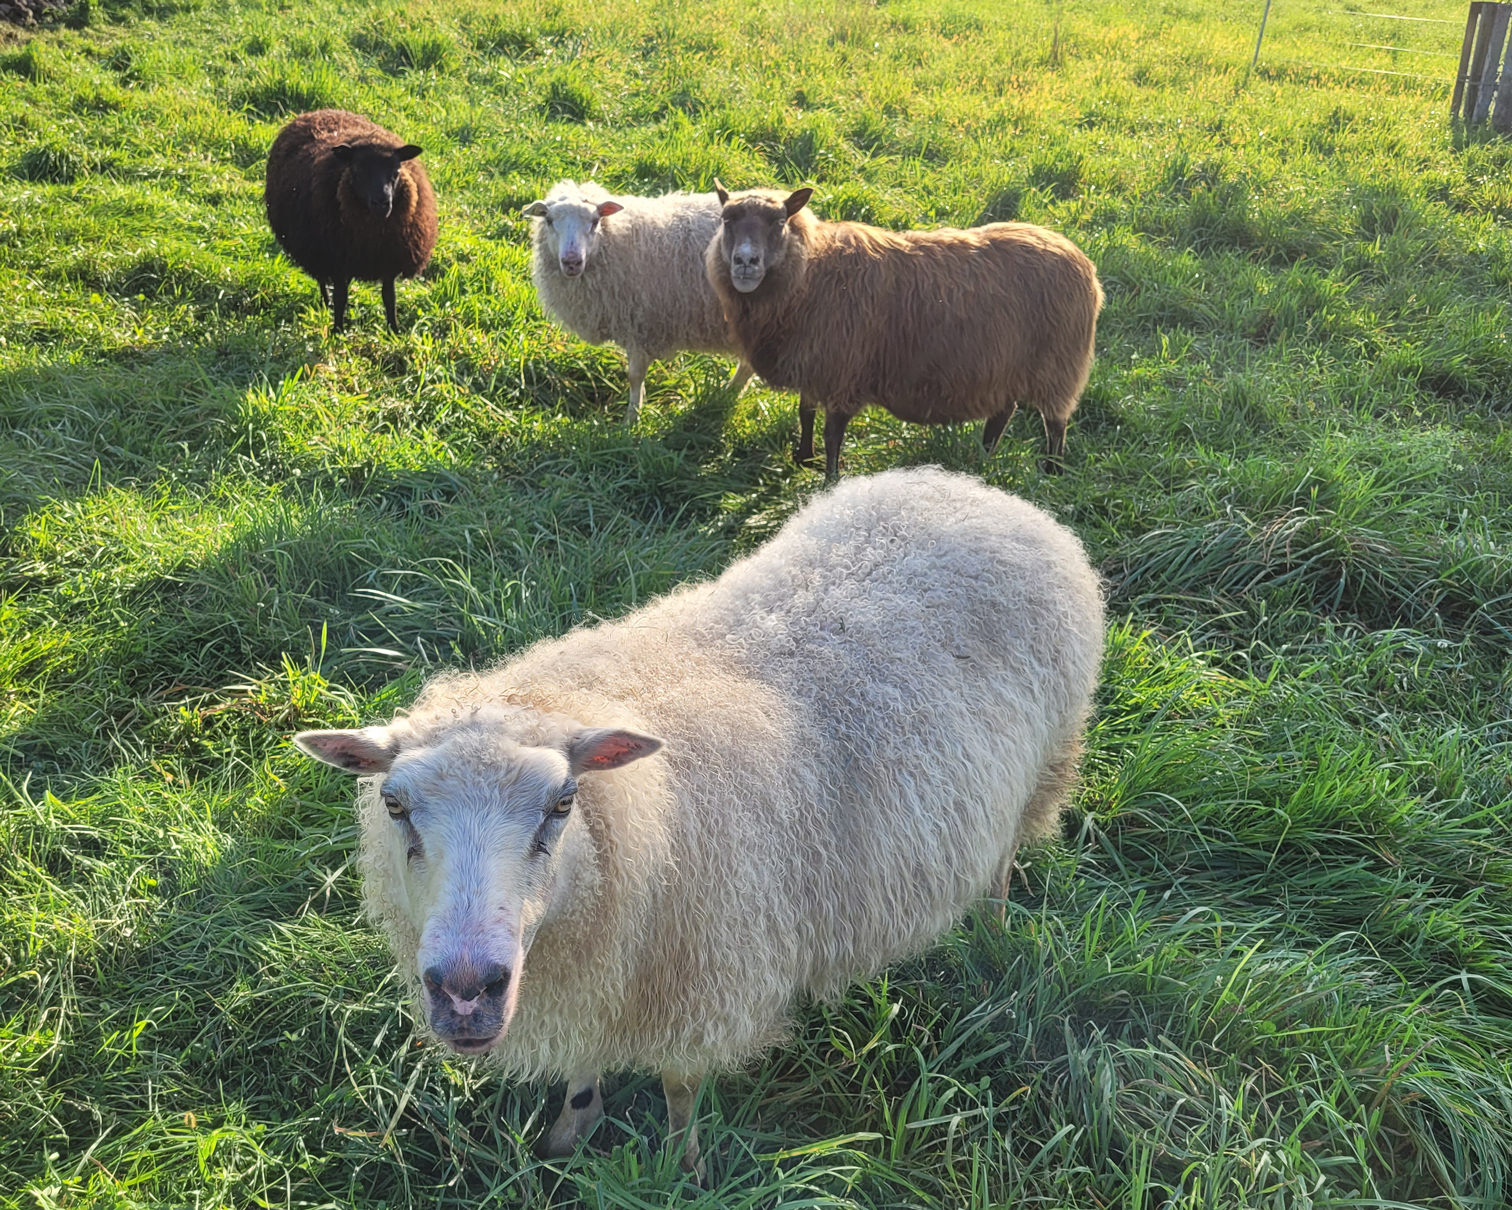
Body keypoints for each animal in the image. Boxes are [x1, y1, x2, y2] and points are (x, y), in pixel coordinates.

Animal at [264, 109, 437, 332]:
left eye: (396, 171)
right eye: (357, 170)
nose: (382, 202)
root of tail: (318, 111)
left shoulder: (390, 260)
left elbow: (389, 297)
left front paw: (393, 330)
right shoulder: (338, 260)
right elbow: (341, 297)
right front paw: (338, 330)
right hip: (316, 250)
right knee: (321, 278)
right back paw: (326, 304)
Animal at [293, 466, 1104, 1176]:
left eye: (562, 804)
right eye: (394, 805)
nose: (466, 992)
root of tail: (974, 490)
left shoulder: (705, 977)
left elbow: (681, 1091)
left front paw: (682, 1167)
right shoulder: (600, 973)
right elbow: (584, 1067)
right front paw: (566, 1137)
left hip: (1042, 766)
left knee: (1002, 861)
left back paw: (992, 928)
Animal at [525, 180, 754, 425]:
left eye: (595, 221)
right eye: (549, 220)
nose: (572, 262)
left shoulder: (642, 323)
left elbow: (634, 376)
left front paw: (631, 419)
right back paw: (727, 394)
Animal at [706, 183, 1103, 477]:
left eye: (778, 221)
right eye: (727, 219)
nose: (745, 261)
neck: (812, 272)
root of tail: (1081, 259)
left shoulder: (843, 371)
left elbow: (832, 434)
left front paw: (829, 479)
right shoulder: (815, 364)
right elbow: (805, 413)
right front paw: (804, 458)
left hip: (1057, 366)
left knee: (1055, 423)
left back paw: (1052, 471)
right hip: (1003, 367)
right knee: (1004, 412)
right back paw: (984, 455)